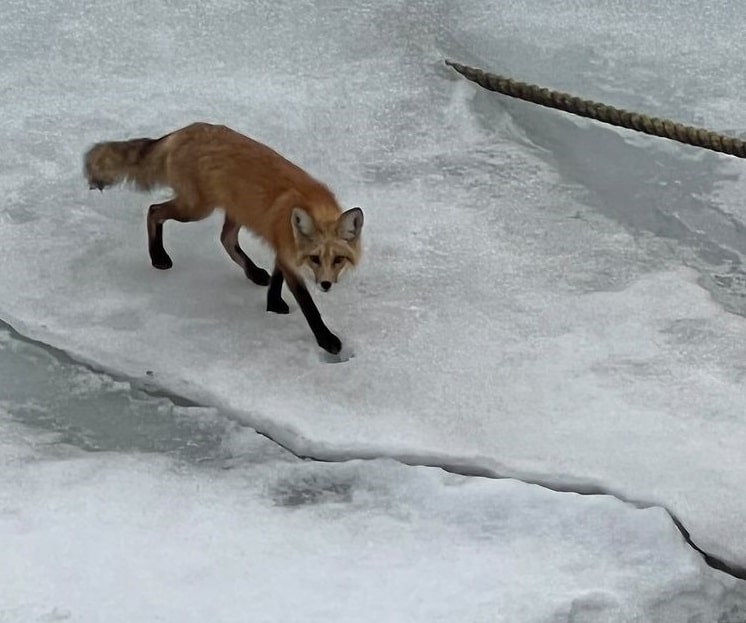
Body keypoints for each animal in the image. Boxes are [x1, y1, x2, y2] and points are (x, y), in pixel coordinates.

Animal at [83, 122, 364, 355]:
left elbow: (276, 279)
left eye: (338, 259)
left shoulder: (284, 249)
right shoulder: (287, 252)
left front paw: (273, 303)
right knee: (154, 211)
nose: (326, 284)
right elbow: (308, 306)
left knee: (226, 240)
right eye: (315, 259)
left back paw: (253, 272)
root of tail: (184, 131)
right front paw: (326, 340)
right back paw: (158, 257)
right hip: (195, 209)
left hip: (232, 211)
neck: (311, 207)